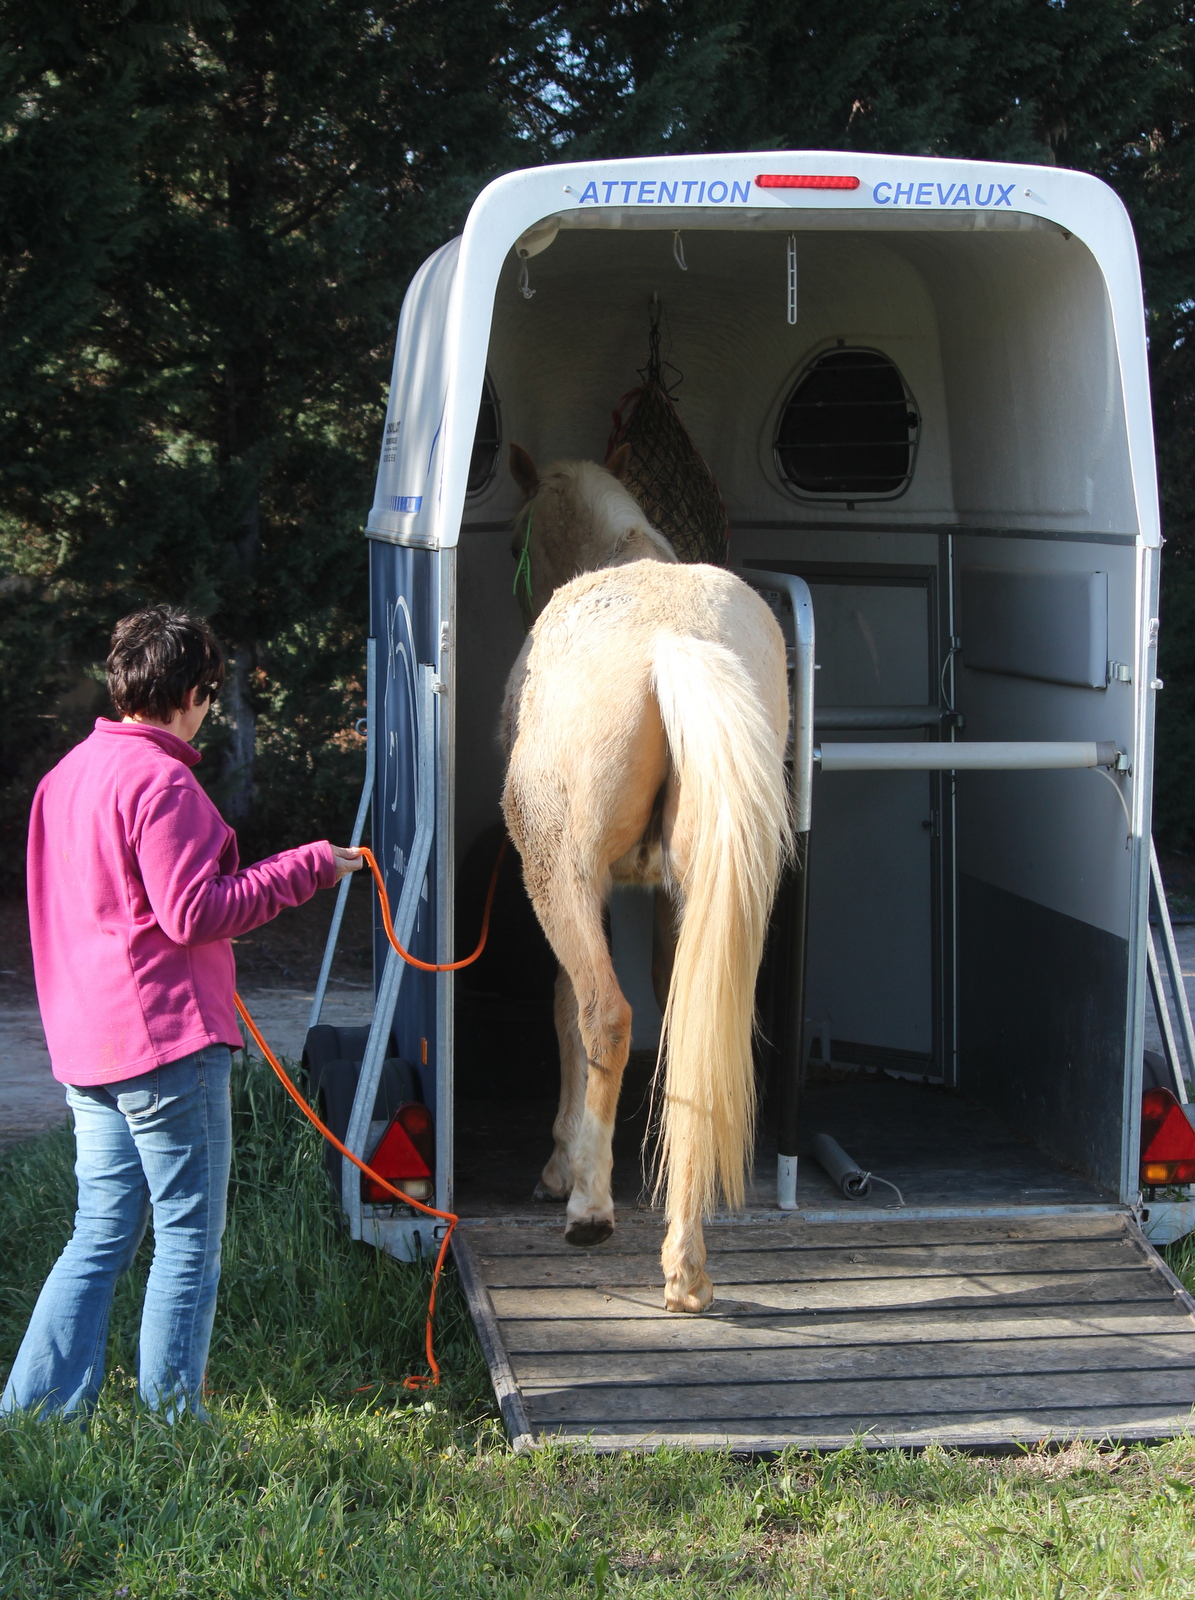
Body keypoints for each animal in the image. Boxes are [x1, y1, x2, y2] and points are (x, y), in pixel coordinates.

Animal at [500, 442, 792, 1312]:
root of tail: (675, 643)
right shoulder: (668, 897)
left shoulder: (580, 885)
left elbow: (566, 1005)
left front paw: (561, 1165)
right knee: (694, 1027)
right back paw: (684, 1267)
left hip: (557, 874)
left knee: (606, 1013)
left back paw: (591, 1210)